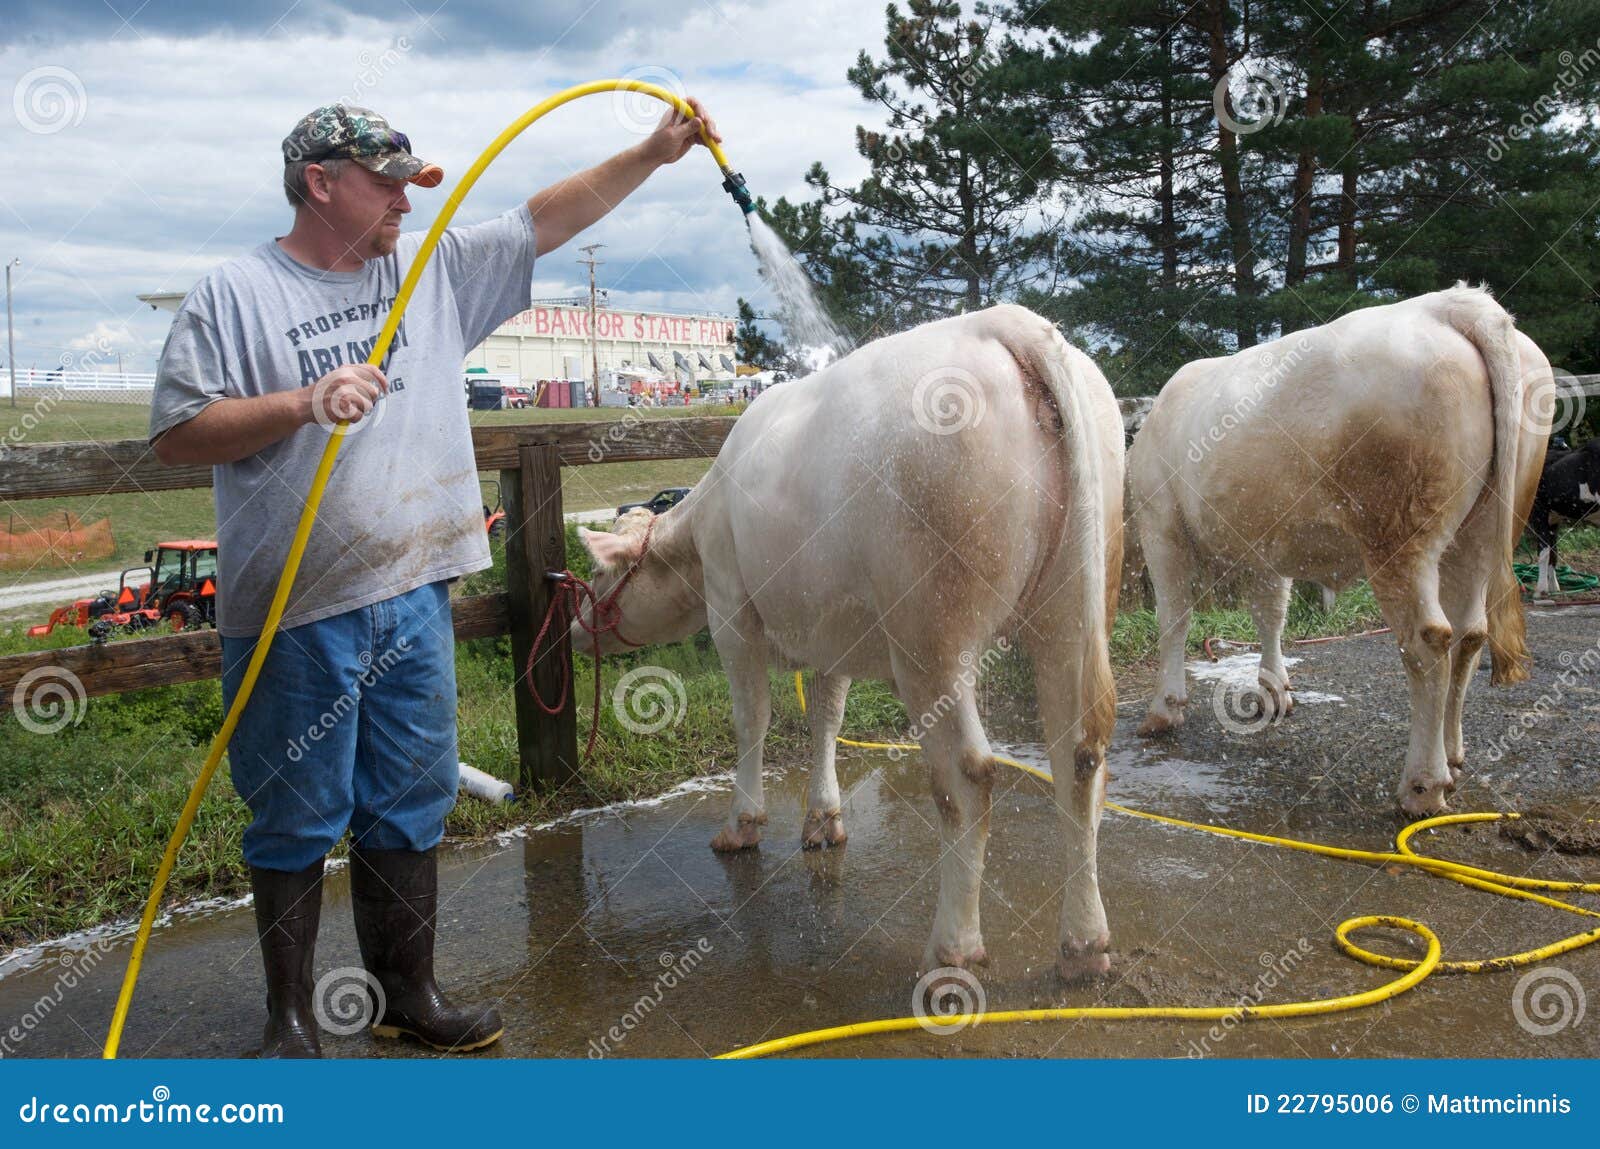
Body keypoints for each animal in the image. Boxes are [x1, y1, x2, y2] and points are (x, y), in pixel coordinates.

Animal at [571, 304, 1125, 979]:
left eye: (599, 574)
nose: (574, 630)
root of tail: (1009, 323)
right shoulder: (827, 630)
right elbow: (827, 718)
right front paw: (823, 819)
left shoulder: (732, 616)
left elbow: (751, 720)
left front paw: (742, 825)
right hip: (1072, 610)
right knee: (1080, 756)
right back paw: (1084, 944)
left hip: (930, 638)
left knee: (968, 776)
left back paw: (953, 947)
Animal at [1129, 285, 1553, 816]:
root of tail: (1454, 302)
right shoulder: (1266, 545)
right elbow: (1271, 613)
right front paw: (1275, 688)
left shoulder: (1160, 523)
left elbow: (1173, 618)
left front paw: (1163, 710)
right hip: (1481, 530)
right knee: (1470, 634)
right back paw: (1454, 756)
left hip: (1397, 534)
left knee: (1428, 640)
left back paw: (1422, 784)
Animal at [1528, 436, 1600, 596]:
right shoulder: (1553, 519)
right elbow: (1553, 552)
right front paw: (1554, 587)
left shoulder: (1539, 512)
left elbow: (1543, 552)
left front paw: (1541, 590)